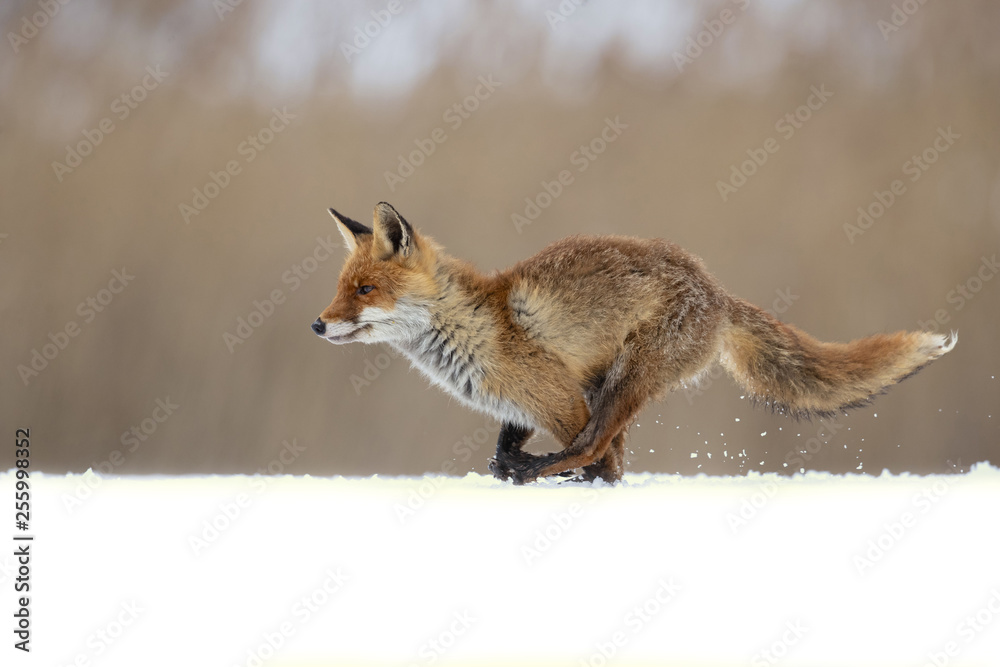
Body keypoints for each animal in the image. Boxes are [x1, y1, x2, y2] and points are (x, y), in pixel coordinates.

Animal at [312, 202, 956, 484]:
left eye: (365, 290)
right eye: (340, 288)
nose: (317, 326)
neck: (471, 326)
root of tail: (716, 291)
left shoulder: (558, 395)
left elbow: (598, 459)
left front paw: (555, 478)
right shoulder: (528, 403)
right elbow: (504, 447)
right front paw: (514, 465)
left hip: (626, 381)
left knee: (597, 447)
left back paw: (547, 473)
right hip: (611, 385)